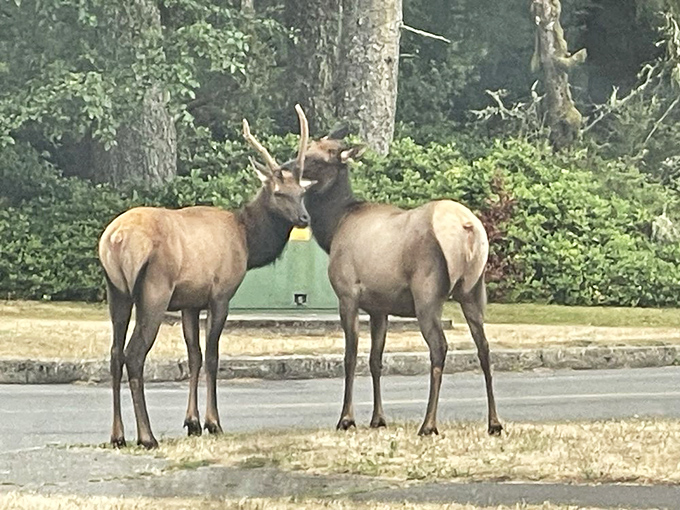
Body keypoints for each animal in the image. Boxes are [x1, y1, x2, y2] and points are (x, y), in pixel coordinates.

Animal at [98, 105, 310, 449]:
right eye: (278, 193)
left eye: (302, 190)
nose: (304, 218)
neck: (247, 241)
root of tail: (115, 240)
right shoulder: (220, 294)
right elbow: (212, 356)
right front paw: (213, 422)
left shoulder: (189, 302)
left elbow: (194, 356)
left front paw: (192, 422)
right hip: (154, 291)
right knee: (134, 354)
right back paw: (147, 436)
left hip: (116, 291)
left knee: (115, 353)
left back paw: (118, 435)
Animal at [281, 127, 503, 436]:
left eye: (316, 159)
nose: (284, 169)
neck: (334, 227)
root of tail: (468, 228)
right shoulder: (379, 307)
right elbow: (376, 359)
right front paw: (378, 418)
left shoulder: (348, 293)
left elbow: (350, 356)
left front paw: (346, 419)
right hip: (473, 290)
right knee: (484, 348)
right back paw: (494, 423)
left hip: (427, 293)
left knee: (439, 348)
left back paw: (428, 424)